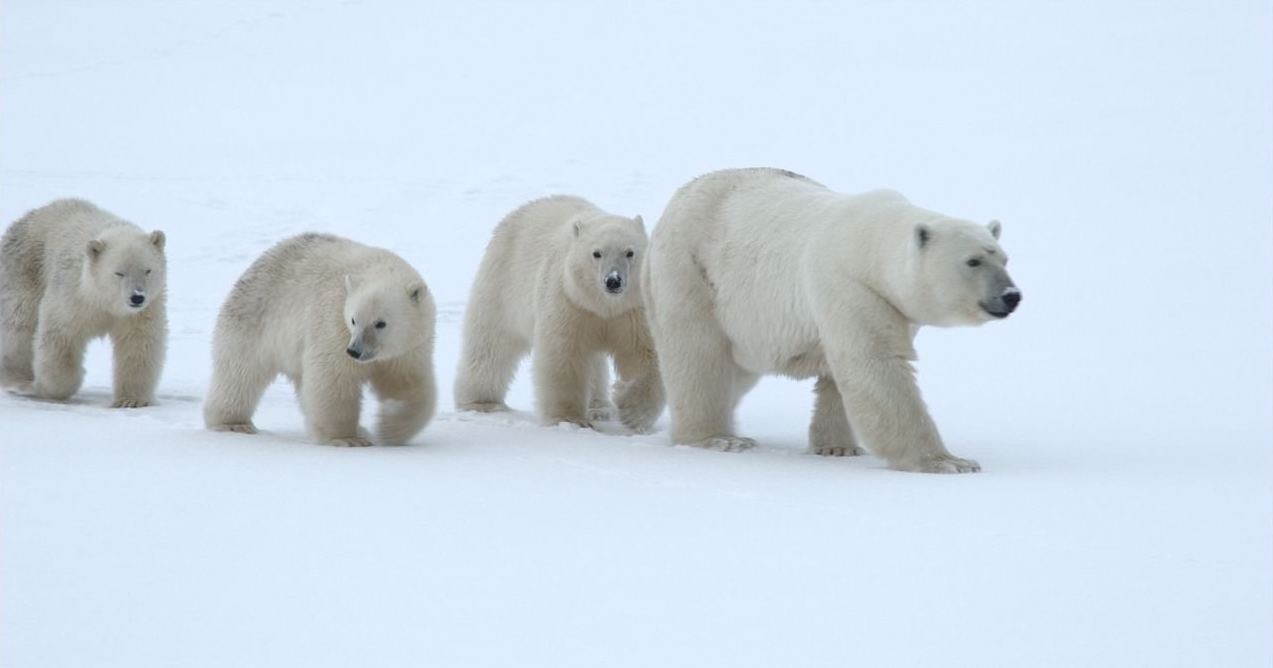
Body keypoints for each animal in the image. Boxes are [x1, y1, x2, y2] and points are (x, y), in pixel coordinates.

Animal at [0, 198, 169, 407]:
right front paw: (53, 389)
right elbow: (60, 337)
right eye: (119, 272)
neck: (103, 299)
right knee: (19, 325)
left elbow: (138, 344)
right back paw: (18, 380)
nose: (137, 297)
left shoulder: (143, 311)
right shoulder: (73, 295)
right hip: (24, 270)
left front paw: (130, 400)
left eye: (147, 270)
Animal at [201, 231, 435, 445]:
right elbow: (333, 378)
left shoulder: (408, 349)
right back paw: (233, 423)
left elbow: (407, 384)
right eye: (353, 320)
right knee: (240, 372)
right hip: (253, 319)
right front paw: (347, 439)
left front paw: (390, 429)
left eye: (380, 323)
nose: (354, 351)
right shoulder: (334, 325)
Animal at [453, 195, 661, 430]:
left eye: (630, 252)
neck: (602, 305)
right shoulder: (569, 301)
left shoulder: (632, 310)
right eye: (596, 253)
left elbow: (644, 353)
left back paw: (599, 408)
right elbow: (564, 355)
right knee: (492, 344)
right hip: (502, 283)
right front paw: (568, 419)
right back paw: (482, 403)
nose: (613, 281)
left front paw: (632, 412)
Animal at [641, 167, 1018, 468]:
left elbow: (842, 376)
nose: (1011, 296)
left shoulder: (890, 307)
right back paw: (718, 438)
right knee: (699, 356)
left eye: (1003, 257)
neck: (870, 244)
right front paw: (948, 461)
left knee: (735, 372)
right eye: (972, 261)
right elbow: (876, 366)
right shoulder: (851, 285)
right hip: (691, 270)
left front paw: (838, 448)